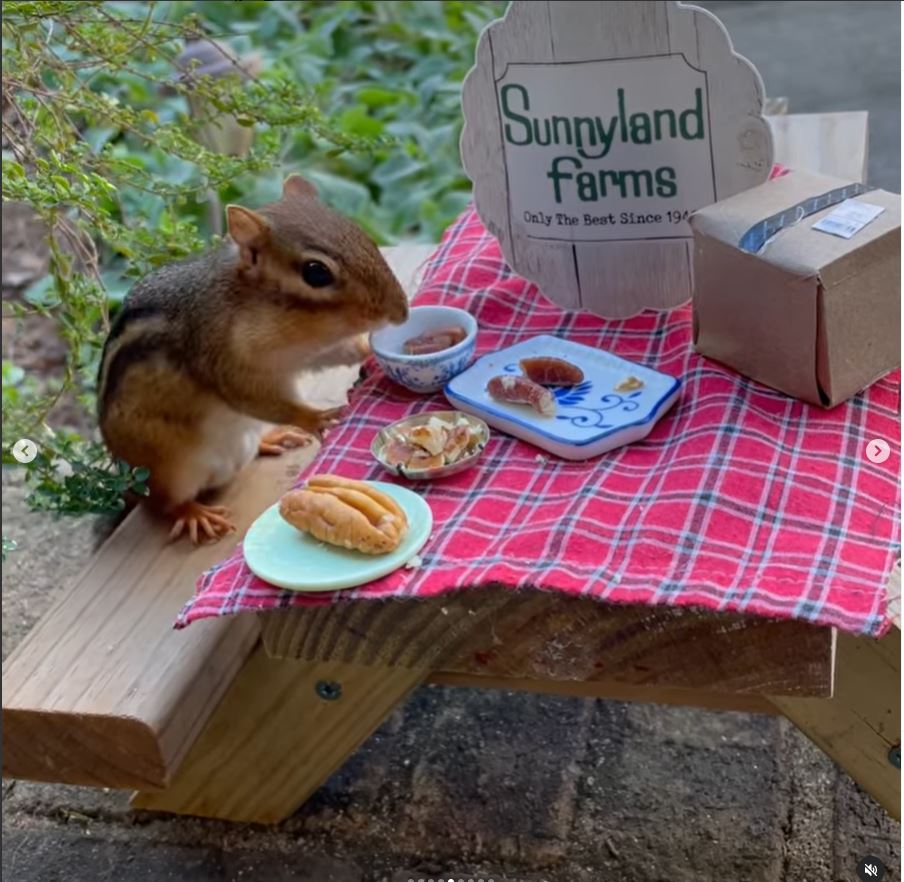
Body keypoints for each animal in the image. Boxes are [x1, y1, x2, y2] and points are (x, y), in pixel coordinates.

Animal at [97, 174, 409, 544]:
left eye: (363, 236)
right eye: (316, 272)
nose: (401, 312)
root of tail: (126, 479)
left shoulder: (308, 352)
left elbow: (340, 353)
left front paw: (369, 352)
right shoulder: (226, 362)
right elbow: (253, 398)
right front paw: (314, 417)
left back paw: (272, 438)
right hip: (169, 470)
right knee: (163, 503)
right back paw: (195, 514)